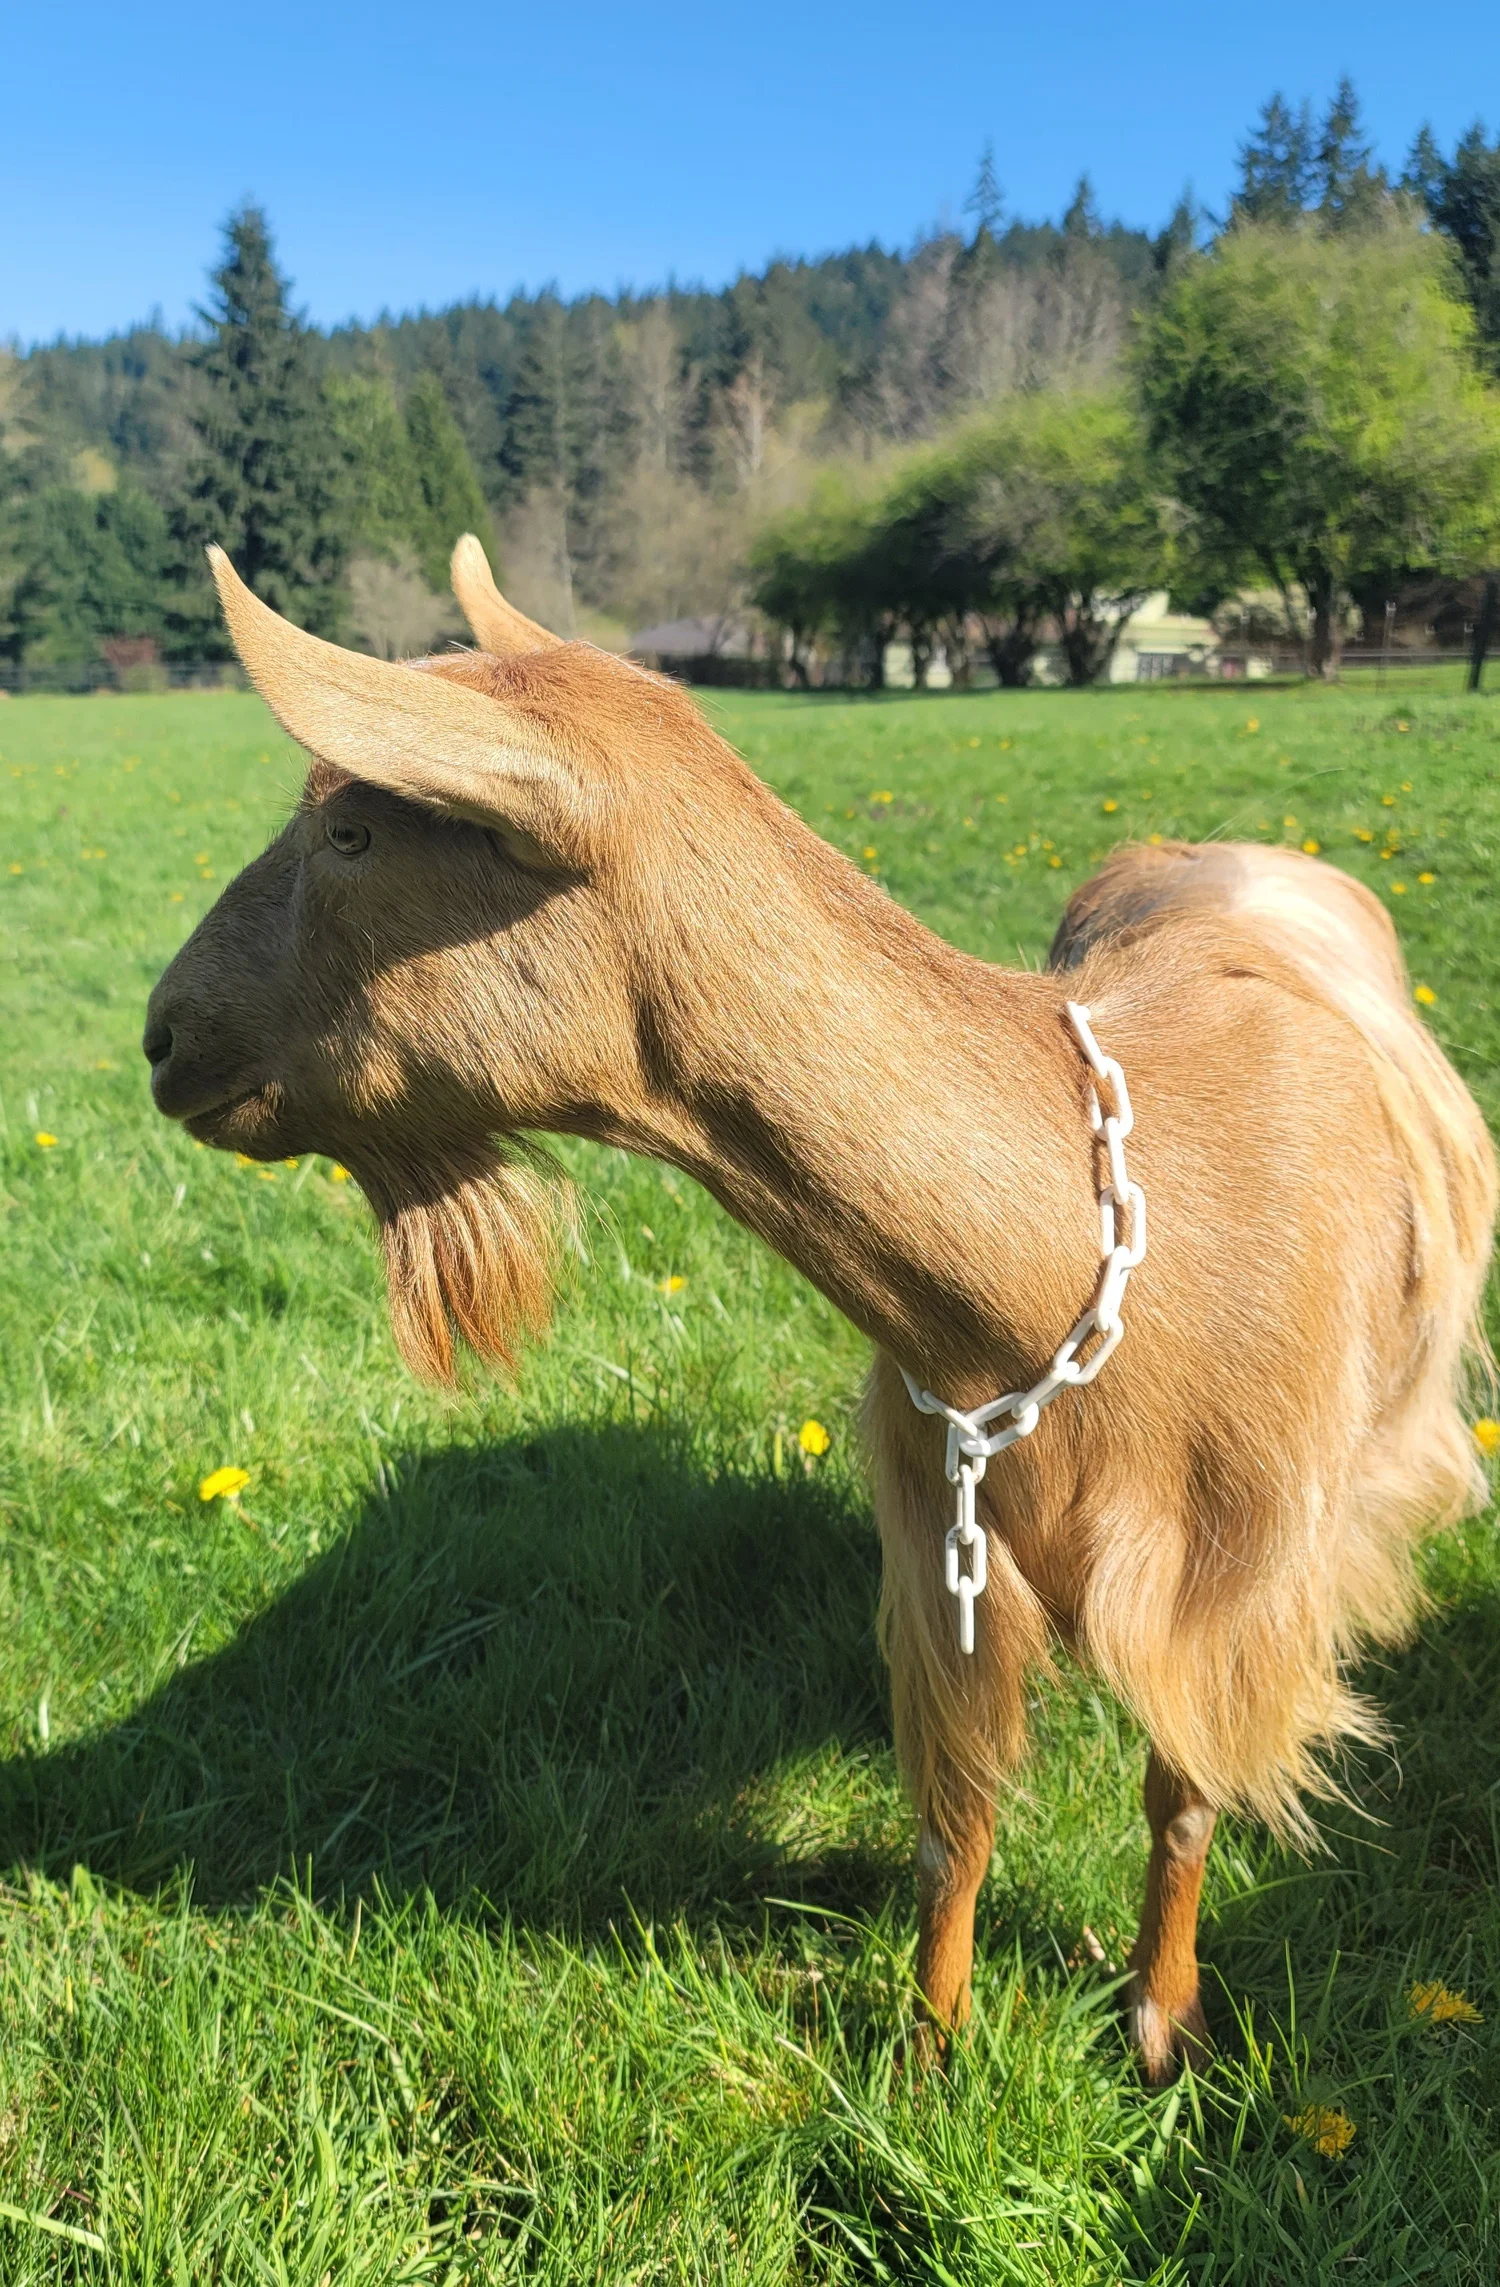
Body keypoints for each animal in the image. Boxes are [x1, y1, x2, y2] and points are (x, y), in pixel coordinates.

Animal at [143, 538, 1496, 2079]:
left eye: (355, 833)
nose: (163, 1036)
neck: (1074, 1271)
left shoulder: (1236, 1579)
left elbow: (1186, 1794)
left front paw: (1163, 2020)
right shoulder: (939, 1535)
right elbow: (953, 1817)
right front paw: (928, 2044)